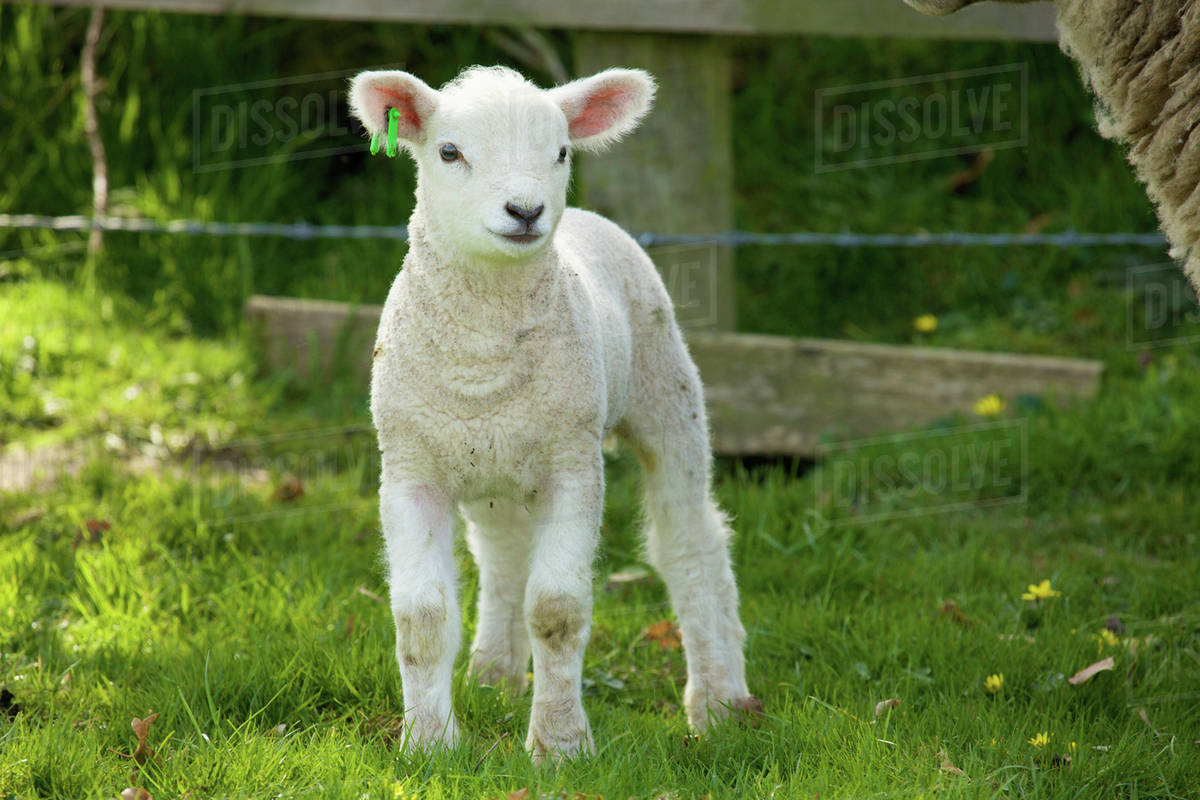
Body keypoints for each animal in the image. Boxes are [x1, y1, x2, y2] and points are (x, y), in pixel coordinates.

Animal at [347, 65, 758, 763]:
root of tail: (589, 218)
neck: (482, 358)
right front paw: (429, 744)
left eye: (561, 152)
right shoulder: (409, 469)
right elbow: (421, 618)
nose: (526, 211)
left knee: (690, 539)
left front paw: (561, 745)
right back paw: (494, 673)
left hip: (665, 391)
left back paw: (719, 701)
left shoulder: (573, 465)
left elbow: (558, 612)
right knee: (503, 553)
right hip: (498, 460)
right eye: (449, 152)